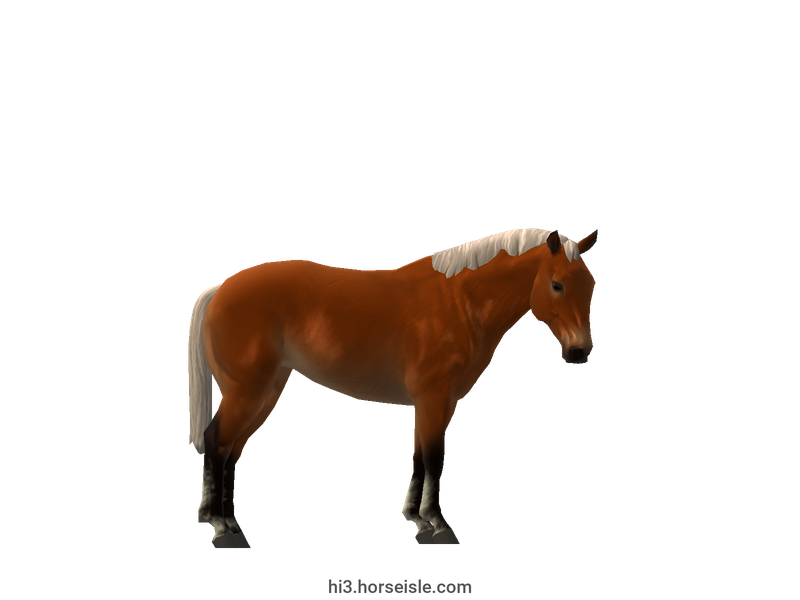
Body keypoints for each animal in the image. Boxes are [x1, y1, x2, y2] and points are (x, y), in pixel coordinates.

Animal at [187, 226, 598, 548]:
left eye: (591, 286)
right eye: (557, 284)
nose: (579, 351)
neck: (460, 301)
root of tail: (221, 289)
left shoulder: (437, 403)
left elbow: (420, 457)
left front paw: (418, 520)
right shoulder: (433, 397)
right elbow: (434, 456)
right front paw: (438, 525)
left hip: (266, 392)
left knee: (231, 449)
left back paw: (229, 523)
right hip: (247, 391)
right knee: (216, 441)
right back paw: (222, 529)